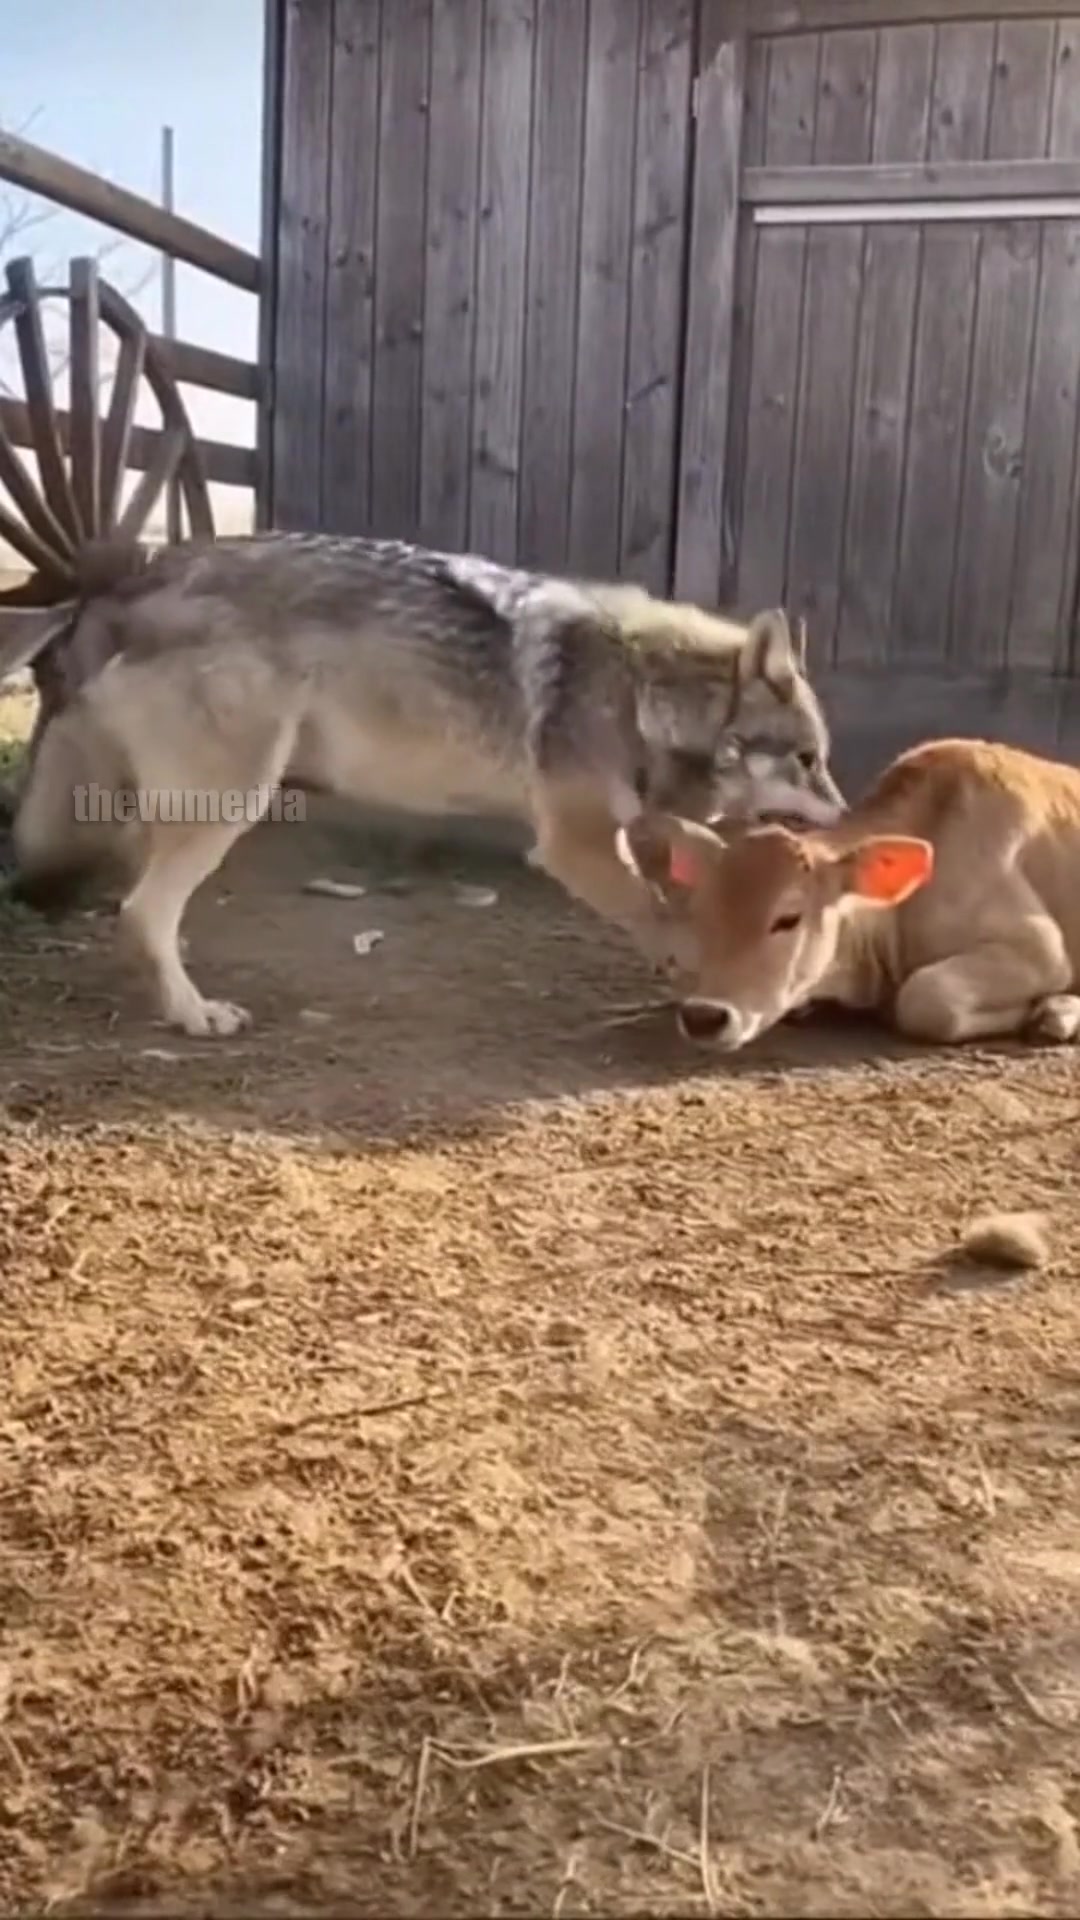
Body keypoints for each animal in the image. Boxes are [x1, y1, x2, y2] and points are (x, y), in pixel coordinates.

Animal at [8, 532, 844, 1036]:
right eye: (807, 761)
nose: (842, 816)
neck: (645, 688)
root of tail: (113, 590)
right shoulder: (572, 845)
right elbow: (662, 914)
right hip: (232, 800)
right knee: (141, 909)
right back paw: (193, 1013)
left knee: (137, 902)